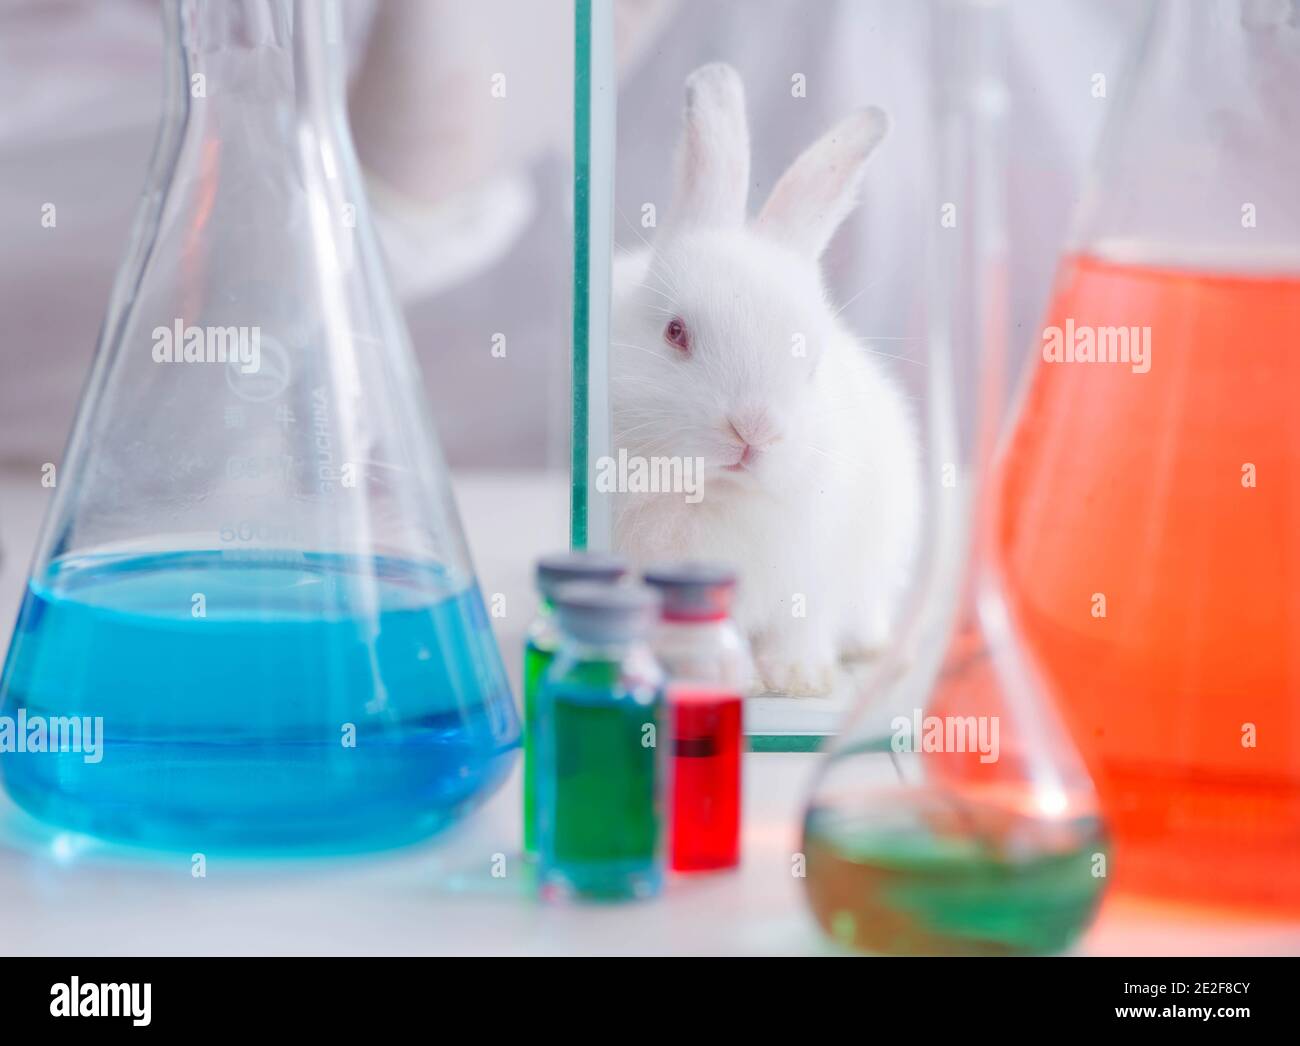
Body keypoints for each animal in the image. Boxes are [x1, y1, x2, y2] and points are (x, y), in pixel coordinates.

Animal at [610, 62, 921, 697]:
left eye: (812, 364)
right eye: (675, 333)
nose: (752, 430)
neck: (716, 492)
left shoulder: (818, 574)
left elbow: (803, 624)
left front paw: (800, 678)